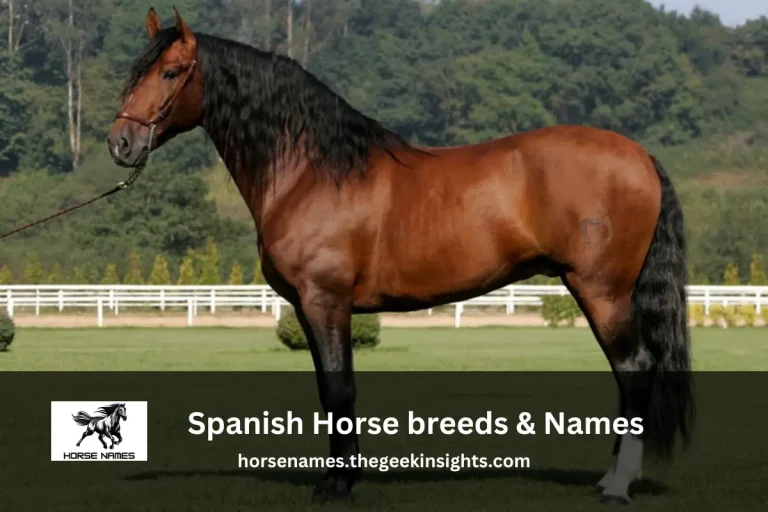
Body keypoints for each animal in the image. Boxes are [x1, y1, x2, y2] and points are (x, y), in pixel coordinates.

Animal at [108, 8, 694, 505]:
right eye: (137, 71)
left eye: (171, 72)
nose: (121, 143)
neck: (313, 171)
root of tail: (640, 156)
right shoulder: (306, 307)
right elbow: (328, 391)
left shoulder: (326, 301)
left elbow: (339, 390)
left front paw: (337, 486)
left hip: (602, 290)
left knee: (634, 369)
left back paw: (617, 485)